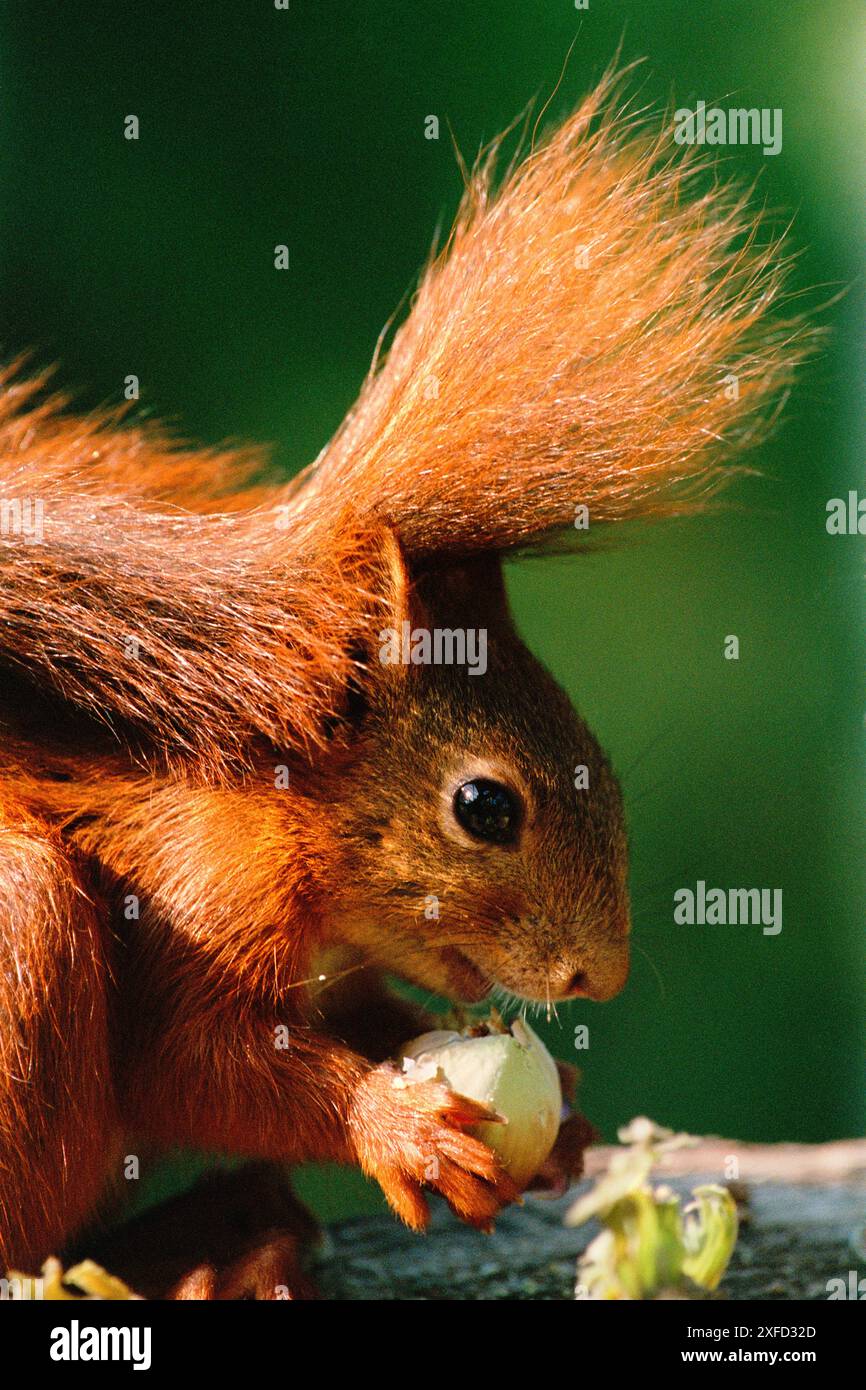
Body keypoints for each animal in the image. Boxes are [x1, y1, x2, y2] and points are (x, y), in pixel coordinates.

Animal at [0, 73, 807, 1297]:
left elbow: (361, 1015)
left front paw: (561, 1124)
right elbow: (194, 1065)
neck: (287, 809)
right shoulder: (194, 878)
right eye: (485, 808)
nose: (603, 979)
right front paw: (399, 1129)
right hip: (25, 926)